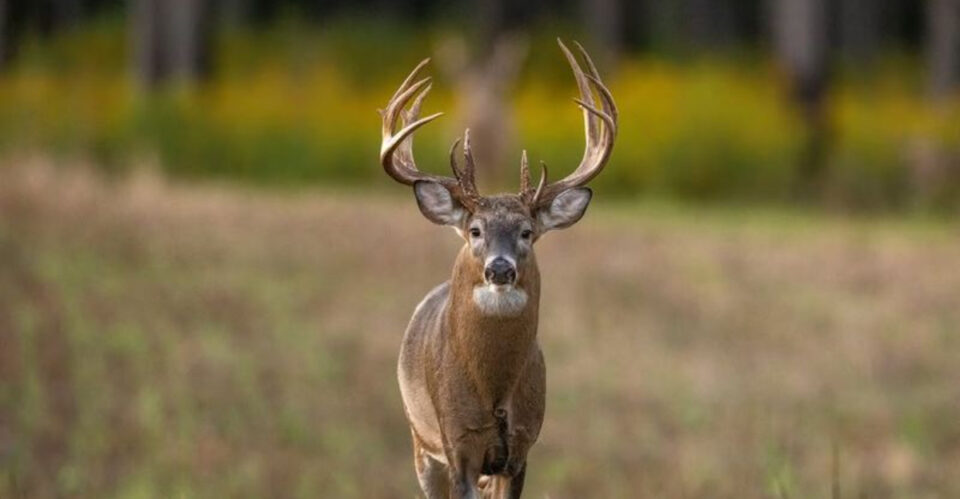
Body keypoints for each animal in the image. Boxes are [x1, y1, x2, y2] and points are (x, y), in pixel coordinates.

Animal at [379, 39, 617, 499]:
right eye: (475, 230)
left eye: (527, 232)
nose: (500, 269)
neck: (493, 391)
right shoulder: (458, 444)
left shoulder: (520, 447)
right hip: (419, 440)